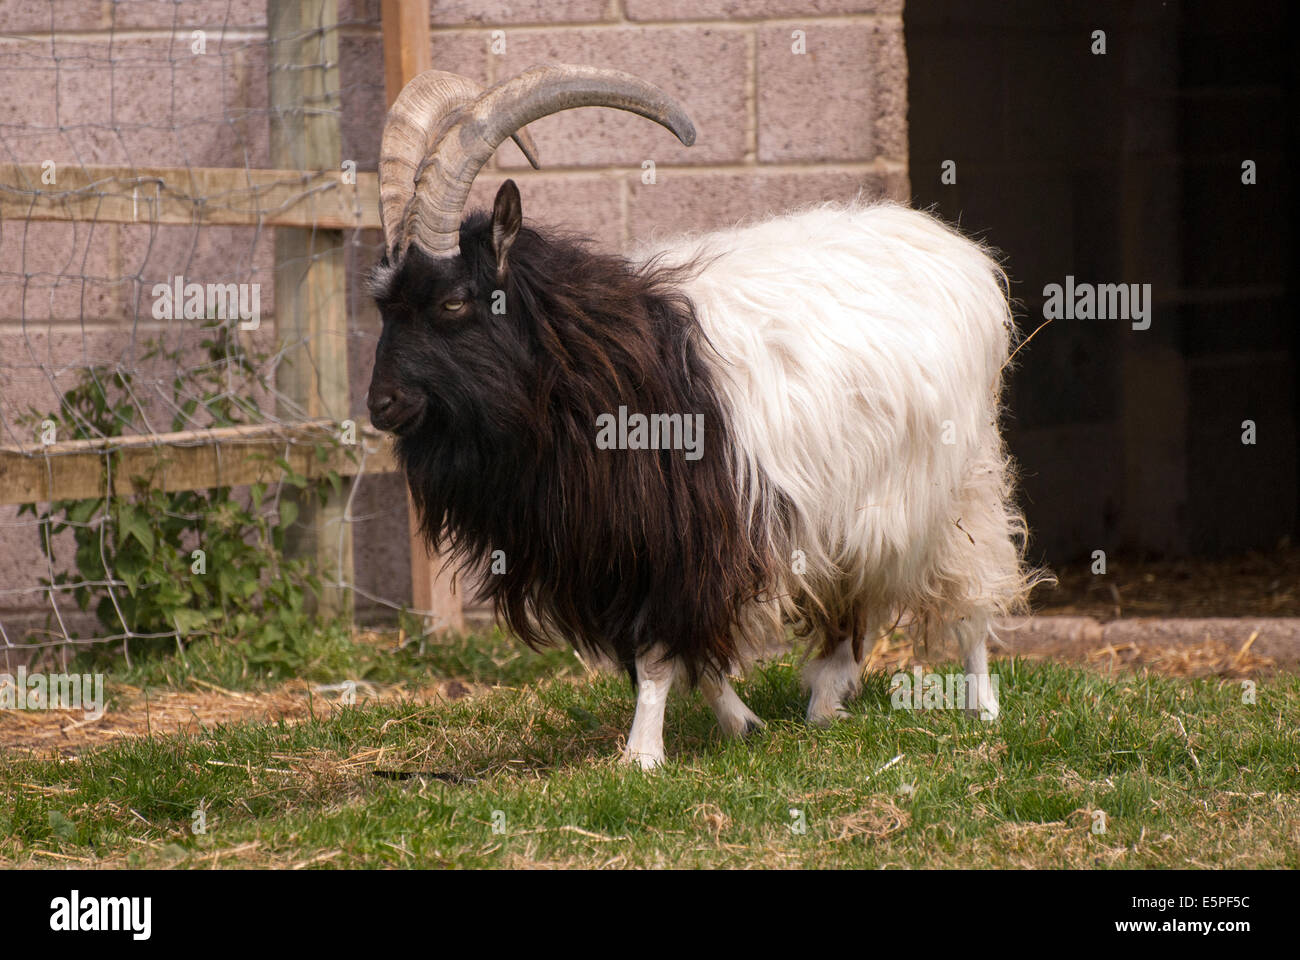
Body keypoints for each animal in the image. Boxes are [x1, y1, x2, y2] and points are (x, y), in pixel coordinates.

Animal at [366, 65, 1037, 768]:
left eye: (453, 302)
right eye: (383, 305)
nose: (381, 405)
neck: (579, 366)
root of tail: (953, 249)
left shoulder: (686, 533)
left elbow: (659, 652)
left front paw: (641, 756)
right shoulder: (622, 550)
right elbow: (684, 651)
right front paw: (742, 723)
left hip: (959, 485)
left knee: (972, 593)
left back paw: (982, 710)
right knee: (849, 597)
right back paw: (826, 702)